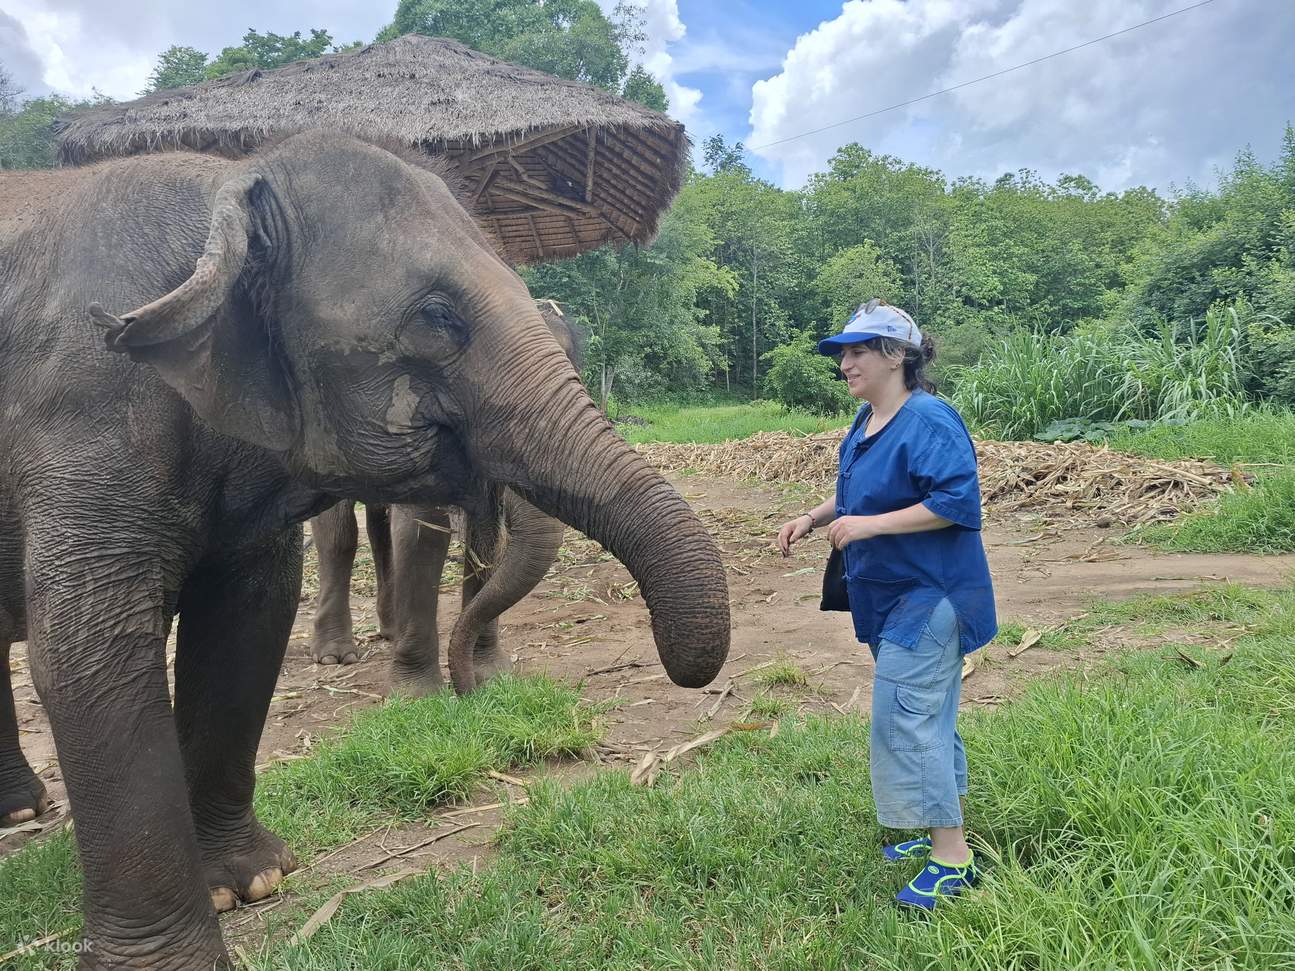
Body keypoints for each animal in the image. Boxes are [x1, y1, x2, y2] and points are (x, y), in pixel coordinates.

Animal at [308, 301, 579, 697]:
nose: (468, 690)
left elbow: (485, 537)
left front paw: (493, 676)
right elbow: (423, 530)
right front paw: (417, 694)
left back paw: (390, 631)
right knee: (340, 531)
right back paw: (334, 655)